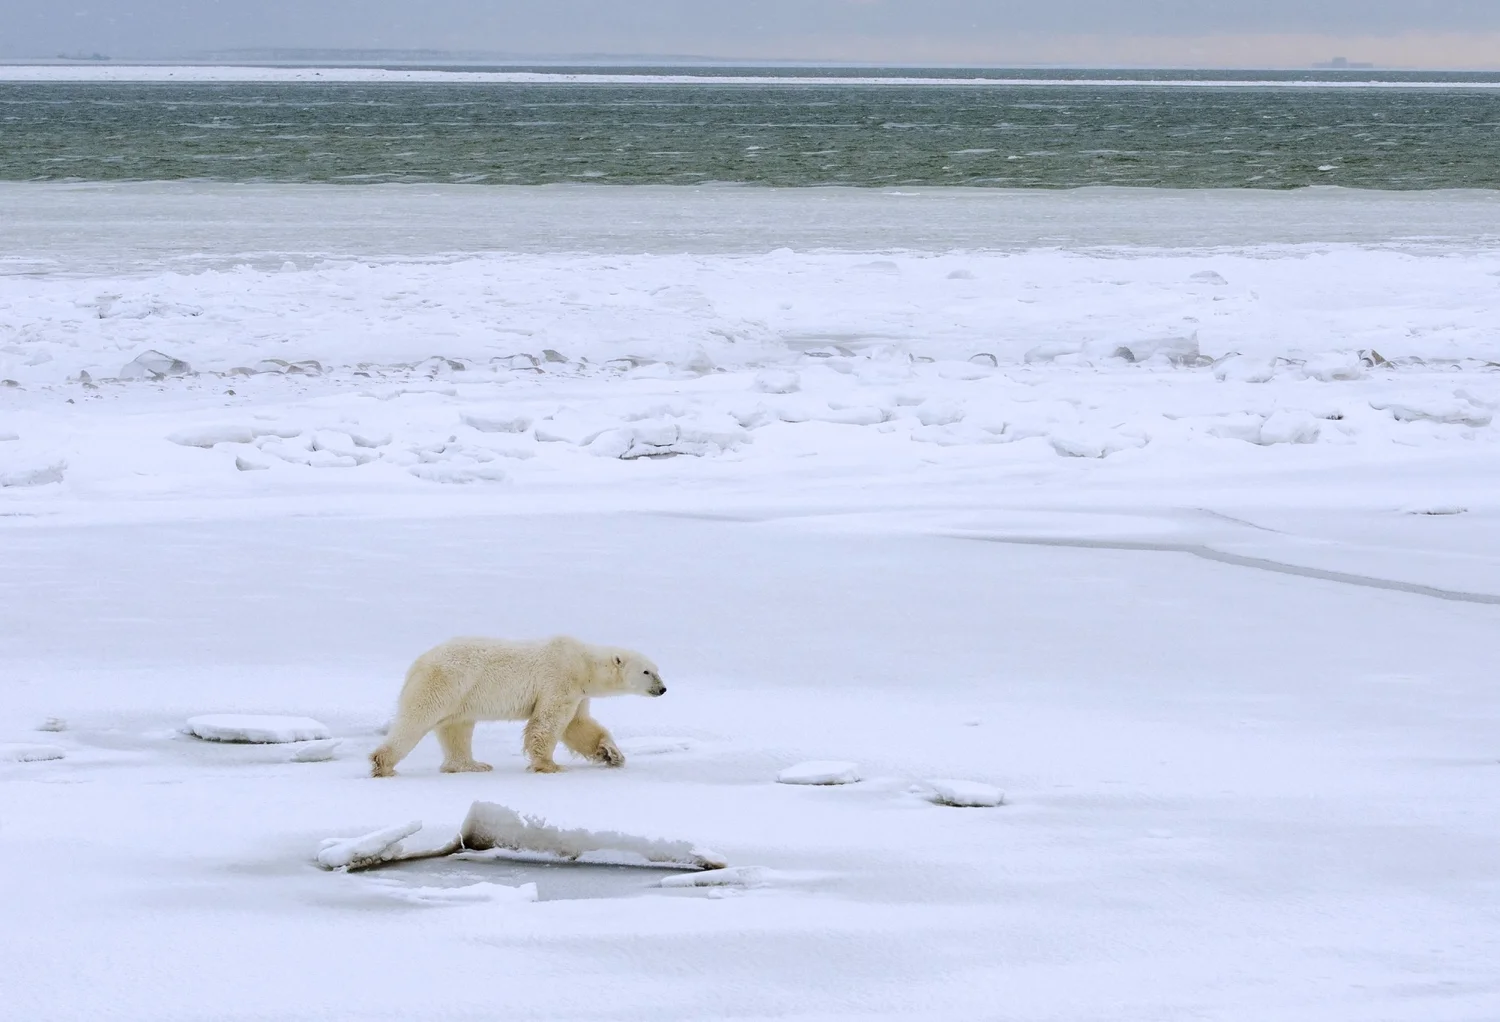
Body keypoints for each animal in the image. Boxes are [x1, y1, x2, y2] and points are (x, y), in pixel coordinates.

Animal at [370, 634, 666, 777]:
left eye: (657, 670)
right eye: (647, 672)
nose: (663, 689)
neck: (583, 663)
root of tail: (418, 663)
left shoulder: (579, 693)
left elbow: (578, 726)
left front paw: (612, 754)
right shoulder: (559, 679)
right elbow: (547, 723)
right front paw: (550, 766)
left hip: (460, 696)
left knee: (456, 729)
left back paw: (471, 765)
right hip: (446, 683)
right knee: (416, 719)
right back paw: (383, 763)